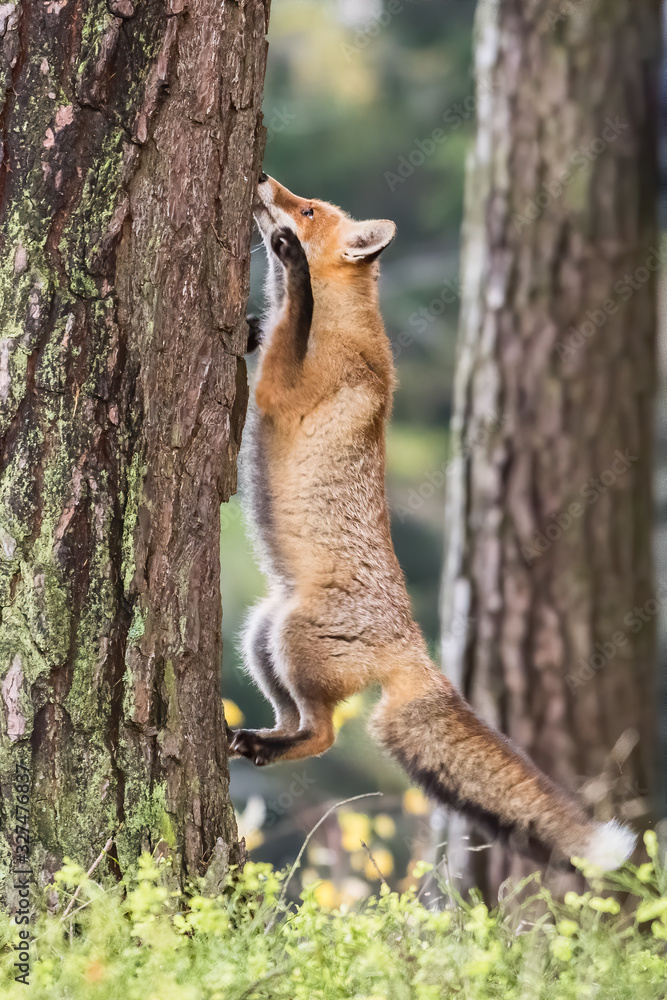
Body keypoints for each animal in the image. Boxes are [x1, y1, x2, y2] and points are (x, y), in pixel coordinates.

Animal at [228, 172, 636, 871]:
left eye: (306, 210)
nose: (261, 178)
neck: (347, 323)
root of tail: (415, 647)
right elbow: (278, 325)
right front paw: (260, 319)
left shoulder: (285, 389)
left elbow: (292, 323)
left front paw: (293, 276)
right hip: (263, 636)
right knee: (303, 728)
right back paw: (262, 740)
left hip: (292, 638)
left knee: (324, 735)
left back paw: (267, 745)